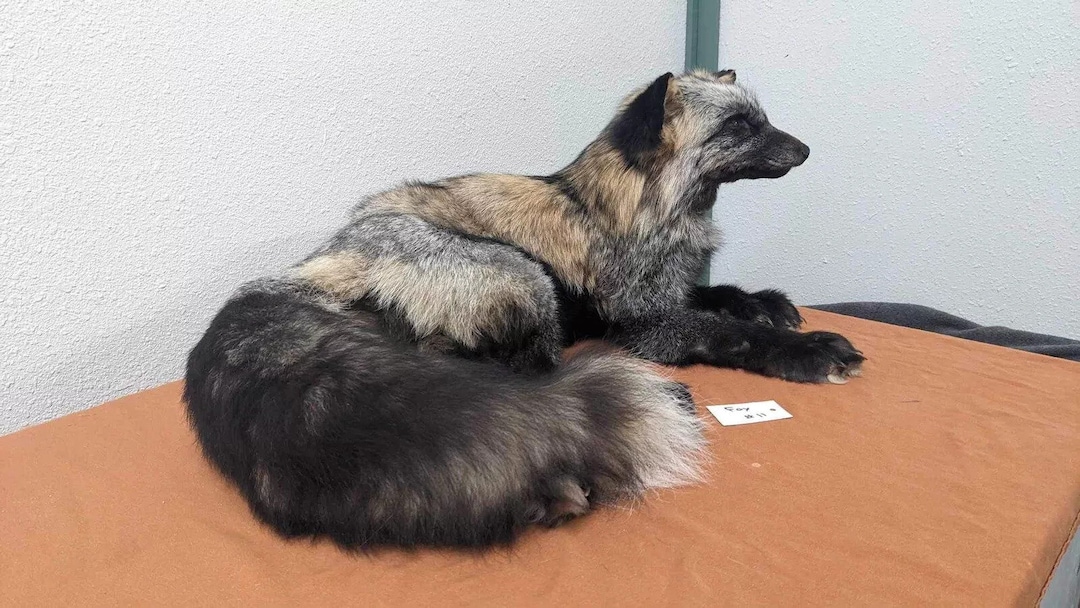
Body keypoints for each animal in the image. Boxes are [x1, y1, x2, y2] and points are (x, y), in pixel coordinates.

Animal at [184, 69, 864, 550]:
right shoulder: (646, 325)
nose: (806, 149)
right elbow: (724, 330)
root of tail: (326, 258)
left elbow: (721, 297)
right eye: (739, 127)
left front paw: (766, 303)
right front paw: (805, 350)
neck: (639, 212)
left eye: (763, 119)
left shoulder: (661, 295)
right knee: (528, 375)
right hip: (527, 279)